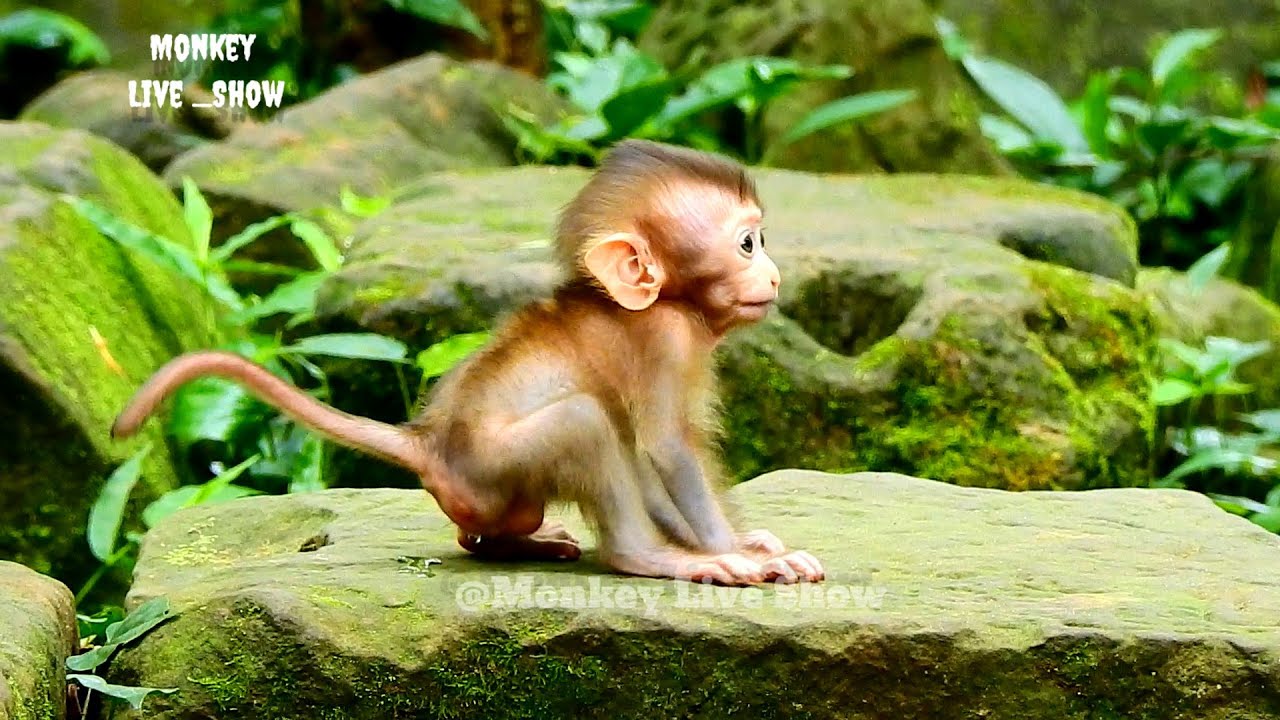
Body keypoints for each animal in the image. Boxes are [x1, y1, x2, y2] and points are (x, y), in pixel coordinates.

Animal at [112, 139, 825, 587]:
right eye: (747, 243)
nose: (773, 275)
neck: (668, 301)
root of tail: (428, 442)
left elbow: (650, 459)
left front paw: (743, 544)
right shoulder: (666, 340)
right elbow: (664, 449)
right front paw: (727, 552)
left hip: (491, 499)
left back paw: (523, 542)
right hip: (494, 468)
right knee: (585, 424)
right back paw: (645, 556)